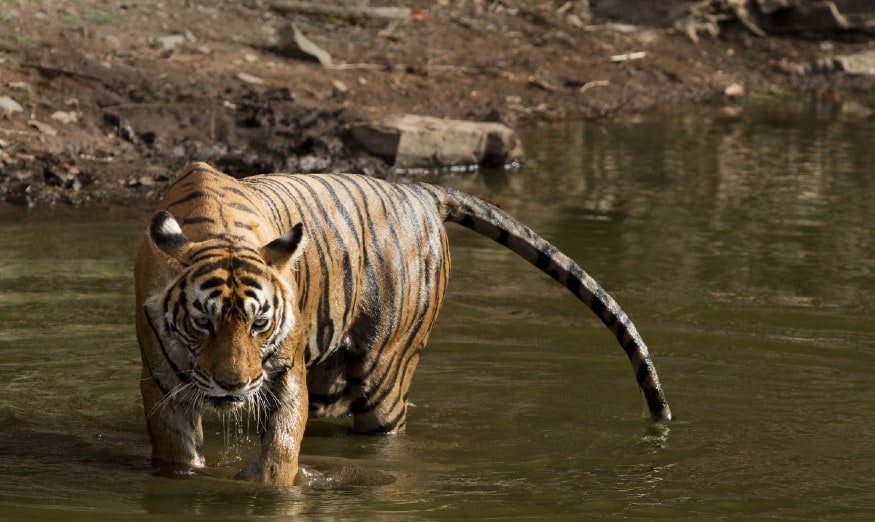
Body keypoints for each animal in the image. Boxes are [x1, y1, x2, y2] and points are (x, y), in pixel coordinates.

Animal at [134, 161, 671, 486]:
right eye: (203, 324)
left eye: (260, 324)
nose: (234, 386)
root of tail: (418, 189)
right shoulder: (162, 379)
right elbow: (176, 450)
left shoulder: (286, 371)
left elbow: (281, 446)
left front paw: (265, 487)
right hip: (334, 380)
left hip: (385, 376)